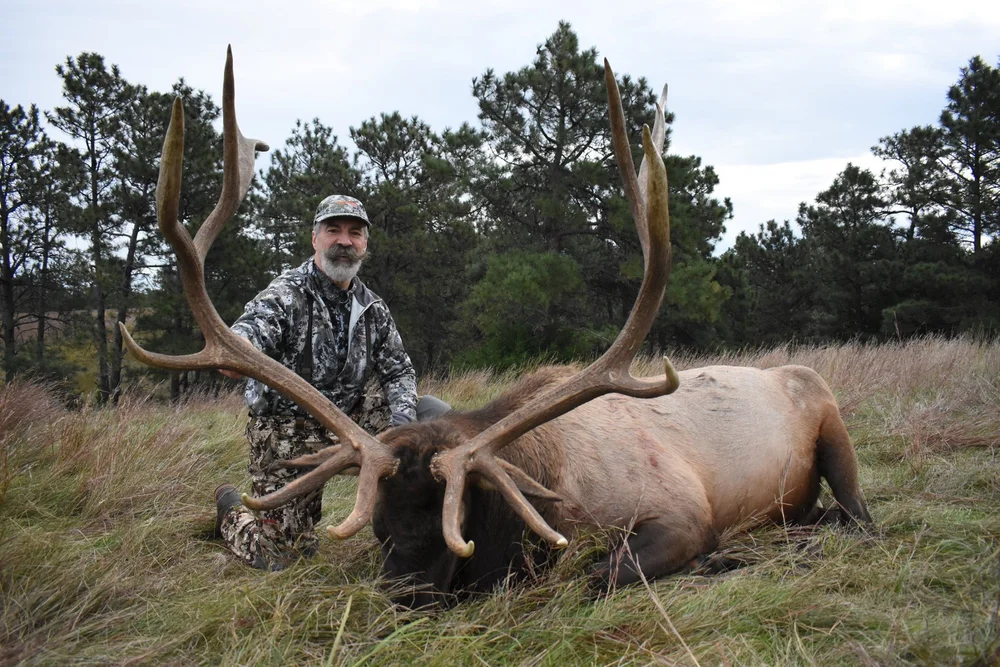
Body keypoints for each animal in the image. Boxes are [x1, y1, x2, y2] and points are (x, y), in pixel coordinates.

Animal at [120, 47, 872, 608]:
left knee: (859, 516)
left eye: (451, 525)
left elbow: (596, 575)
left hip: (834, 424)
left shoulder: (684, 513)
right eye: (381, 530)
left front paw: (720, 559)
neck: (544, 497)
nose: (402, 598)